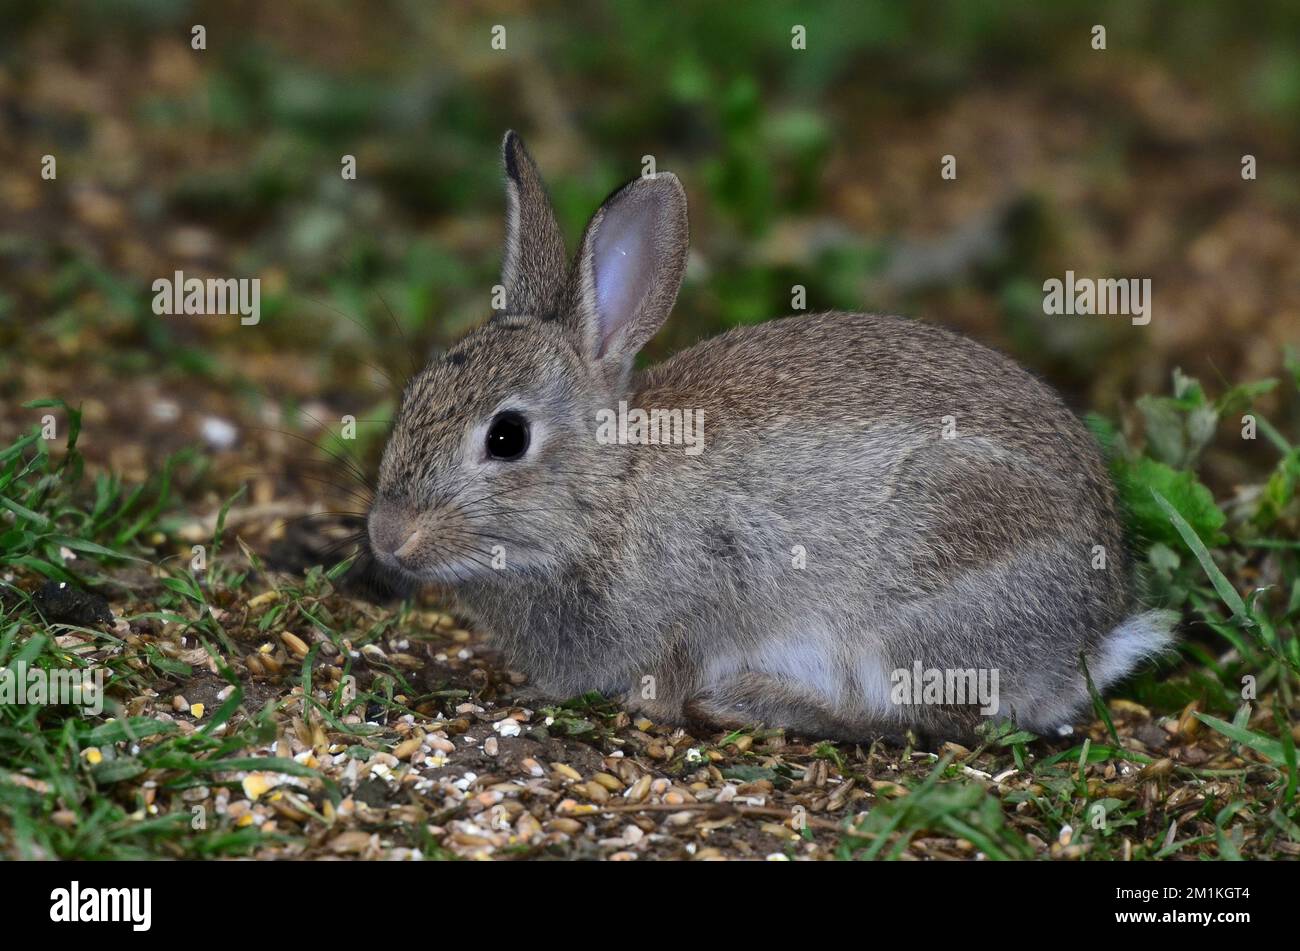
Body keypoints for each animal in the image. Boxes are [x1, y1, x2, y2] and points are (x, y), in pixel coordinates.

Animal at [367, 130, 1176, 743]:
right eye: (412, 395)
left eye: (507, 437)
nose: (386, 535)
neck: (607, 495)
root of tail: (1092, 634)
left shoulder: (709, 586)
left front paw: (648, 701)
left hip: (924, 597)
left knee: (927, 720)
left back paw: (752, 701)